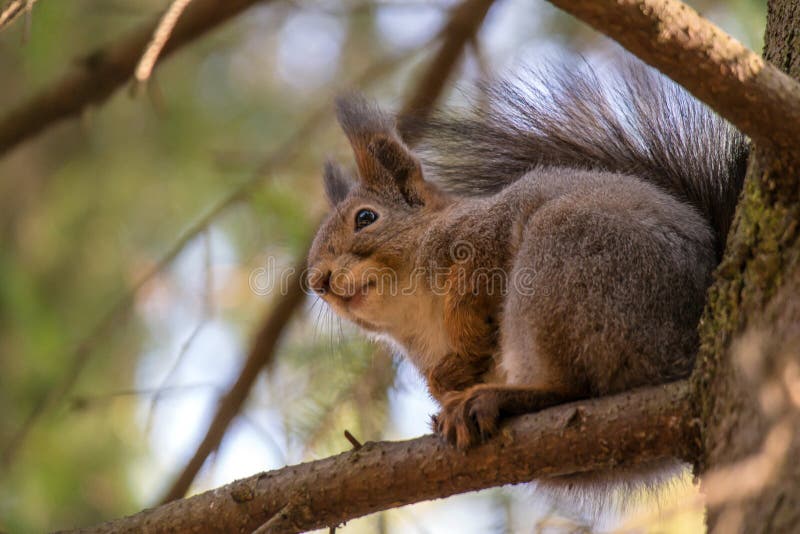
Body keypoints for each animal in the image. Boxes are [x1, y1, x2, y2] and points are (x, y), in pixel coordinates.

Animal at [306, 57, 748, 499]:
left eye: (366, 218)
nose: (317, 281)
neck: (416, 311)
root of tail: (686, 351)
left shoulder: (484, 237)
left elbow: (474, 289)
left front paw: (463, 351)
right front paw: (443, 381)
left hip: (567, 267)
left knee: (575, 388)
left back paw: (501, 399)